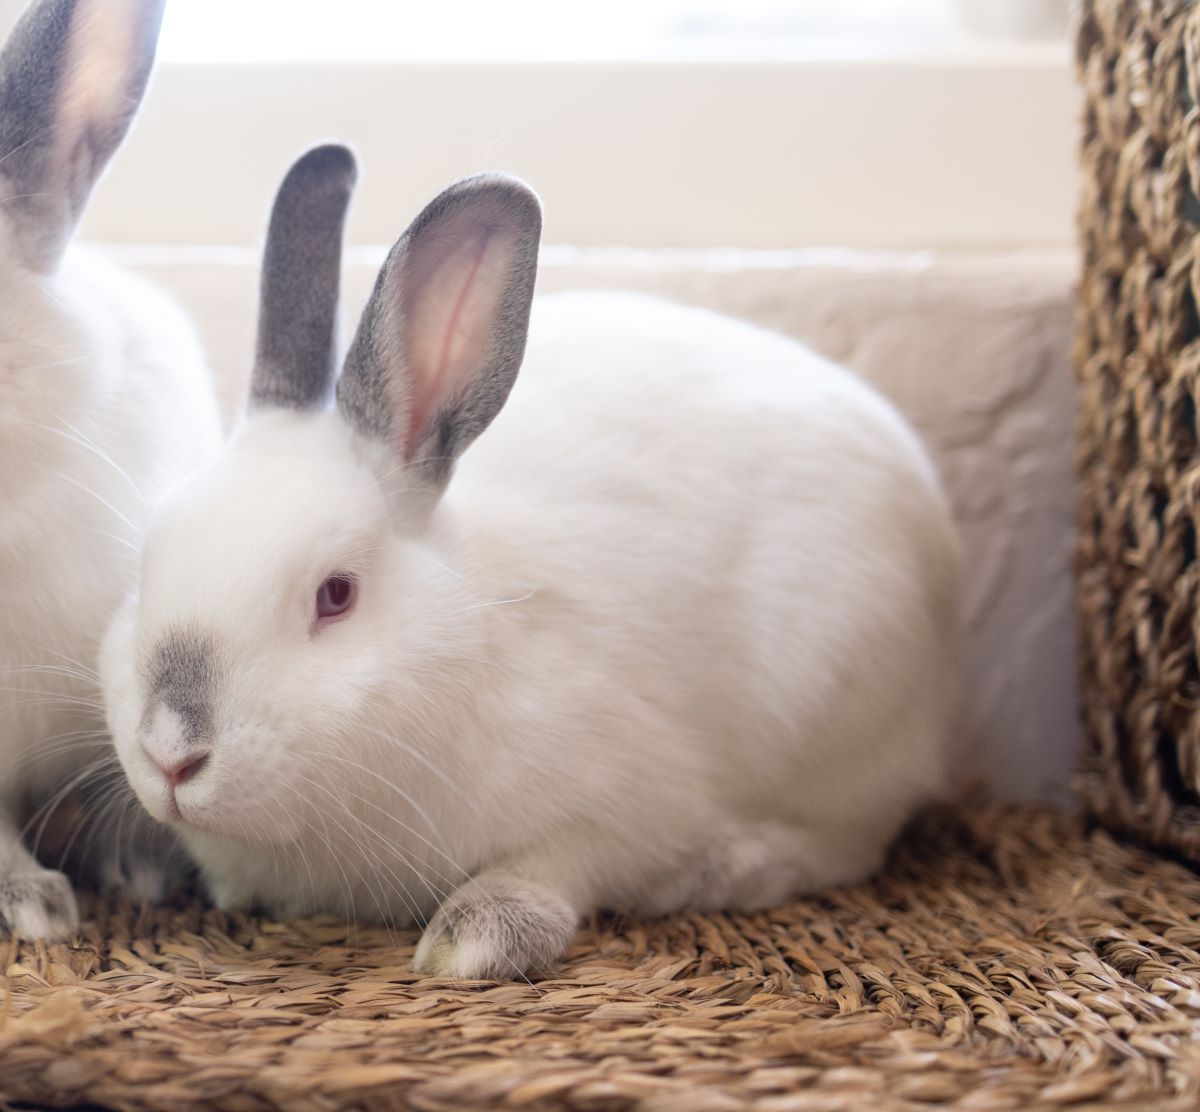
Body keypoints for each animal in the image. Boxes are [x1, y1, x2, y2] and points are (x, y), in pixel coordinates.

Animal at [101, 143, 961, 979]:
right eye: (144, 570)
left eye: (336, 595)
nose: (171, 755)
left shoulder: (625, 799)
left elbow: (560, 863)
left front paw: (476, 939)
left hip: (839, 711)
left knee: (845, 841)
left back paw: (721, 869)